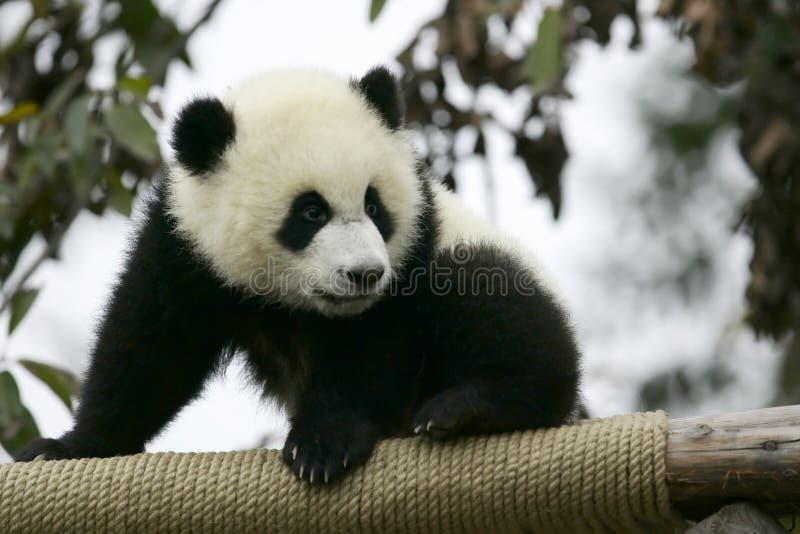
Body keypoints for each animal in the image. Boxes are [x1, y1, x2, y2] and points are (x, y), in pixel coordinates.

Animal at [15, 67, 582, 484]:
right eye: (310, 212)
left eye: (374, 205)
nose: (364, 275)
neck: (295, 304)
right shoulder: (187, 248)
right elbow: (148, 351)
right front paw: (67, 448)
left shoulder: (413, 250)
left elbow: (371, 349)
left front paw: (322, 446)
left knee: (496, 304)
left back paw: (469, 407)